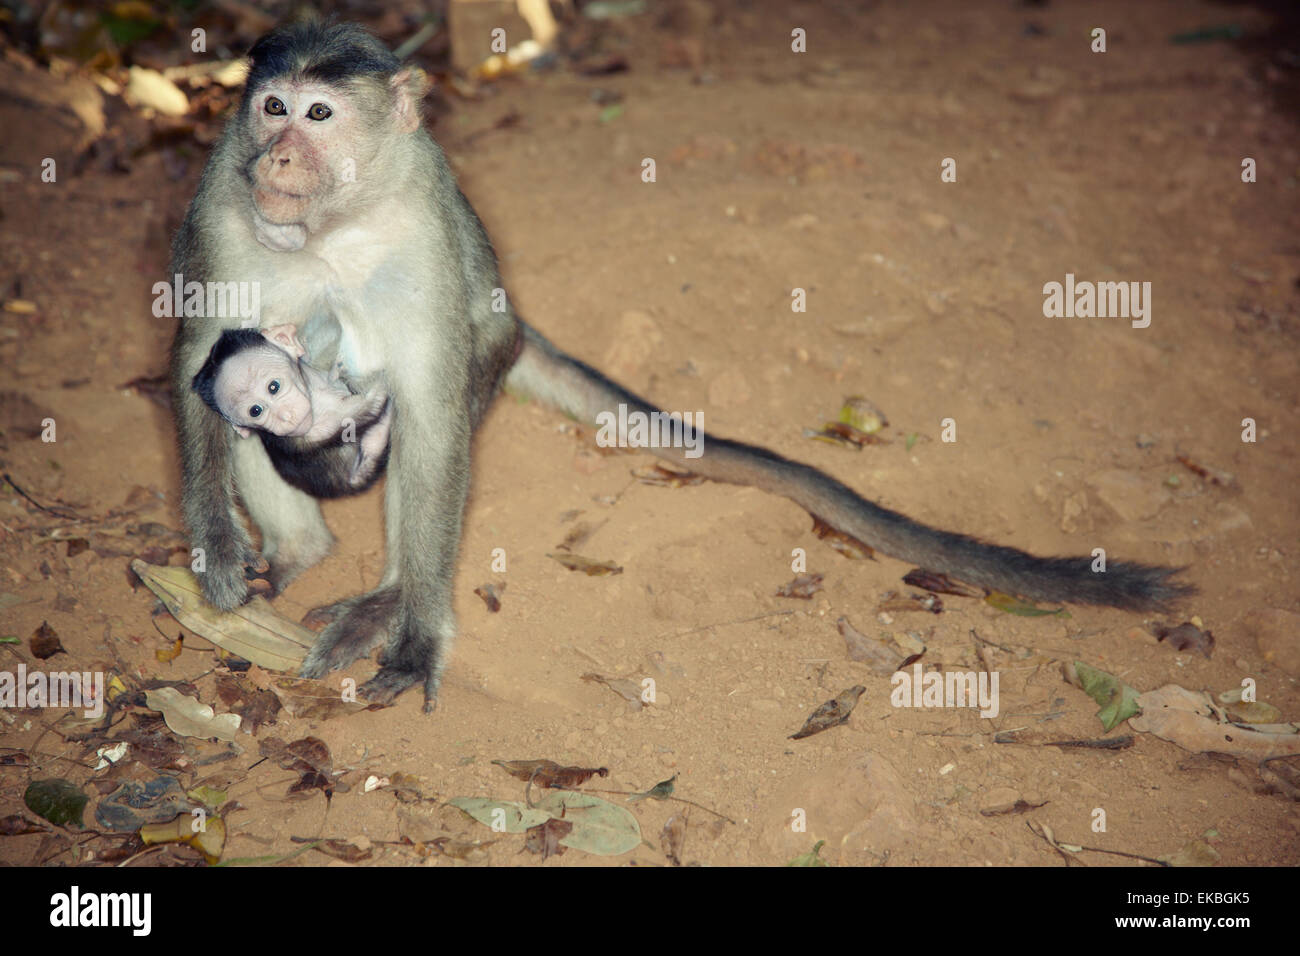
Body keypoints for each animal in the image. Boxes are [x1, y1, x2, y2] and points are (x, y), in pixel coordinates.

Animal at [191, 323, 391, 490]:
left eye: (273, 387)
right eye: (255, 411)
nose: (284, 417)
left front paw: (338, 369)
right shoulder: (321, 427)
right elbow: (366, 410)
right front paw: (380, 383)